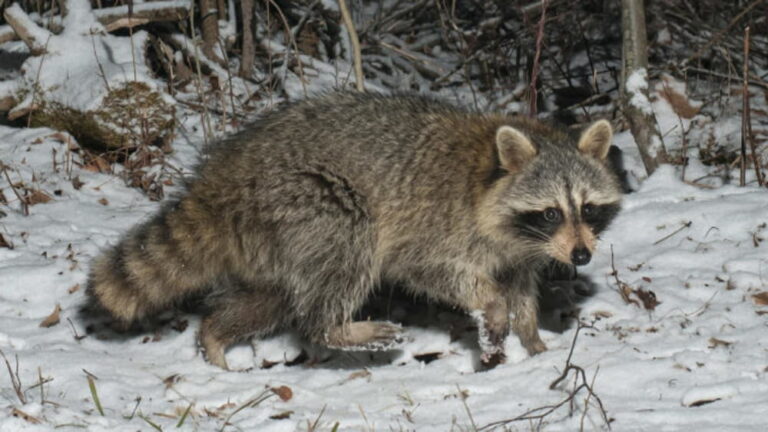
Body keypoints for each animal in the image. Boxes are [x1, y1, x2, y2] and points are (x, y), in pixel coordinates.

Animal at [86, 92, 622, 370]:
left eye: (588, 209)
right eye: (550, 212)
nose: (581, 257)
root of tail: (221, 173)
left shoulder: (520, 250)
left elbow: (520, 287)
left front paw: (533, 342)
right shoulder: (438, 225)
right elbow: (431, 271)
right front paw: (490, 307)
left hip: (271, 238)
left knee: (271, 299)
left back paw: (217, 336)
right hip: (304, 198)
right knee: (345, 252)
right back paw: (336, 328)